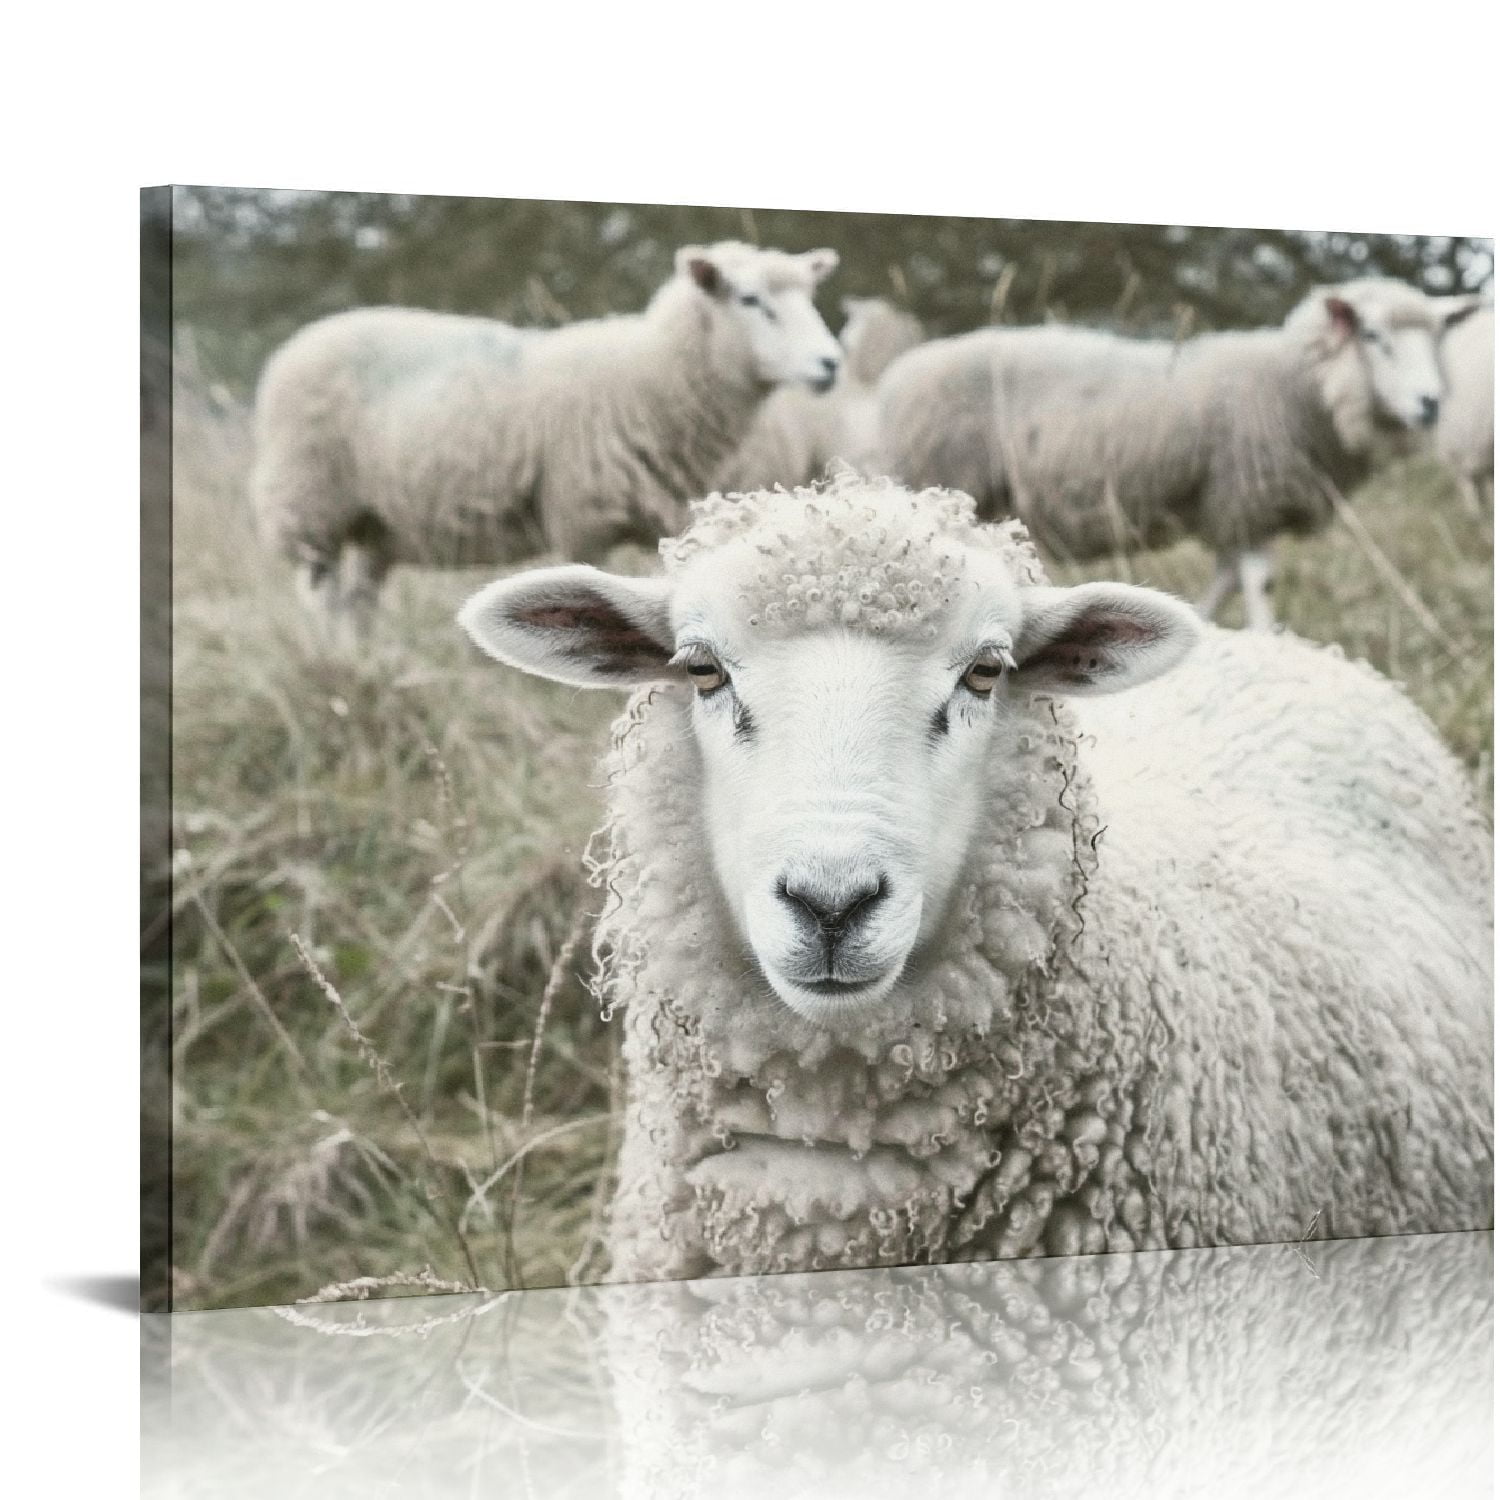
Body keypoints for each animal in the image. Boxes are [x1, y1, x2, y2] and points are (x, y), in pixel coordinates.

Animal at [249, 241, 843, 646]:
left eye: (810, 297)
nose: (831, 363)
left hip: (378, 523)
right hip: (310, 504)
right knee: (322, 598)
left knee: (359, 601)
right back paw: (333, 661)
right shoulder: (582, 518)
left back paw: (367, 659)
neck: (655, 375)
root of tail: (298, 342)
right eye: (750, 300)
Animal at [876, 279, 1487, 629]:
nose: (1431, 405)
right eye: (1375, 338)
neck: (1300, 386)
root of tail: (896, 376)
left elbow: (1227, 578)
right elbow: (1258, 584)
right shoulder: (1249, 493)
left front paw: (1203, 623)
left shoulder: (1231, 505)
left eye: (1438, 339)